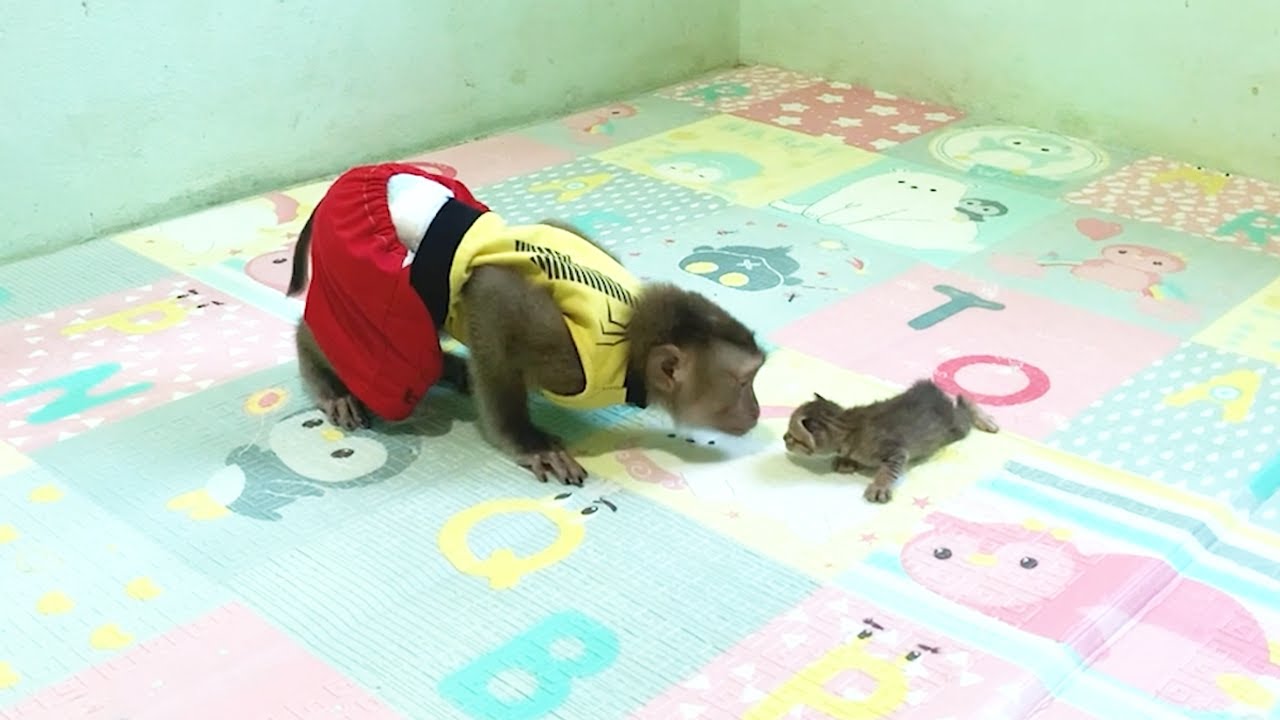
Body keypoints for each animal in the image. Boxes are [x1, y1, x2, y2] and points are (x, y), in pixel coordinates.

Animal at [286, 163, 764, 485]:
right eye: (743, 383)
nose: (757, 412)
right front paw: (529, 442)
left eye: (755, 378)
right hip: (361, 271)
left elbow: (552, 229)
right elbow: (491, 301)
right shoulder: (562, 352)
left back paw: (448, 368)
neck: (631, 344)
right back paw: (326, 374)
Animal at [782, 380, 999, 503]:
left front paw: (879, 488)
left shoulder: (897, 452)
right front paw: (845, 461)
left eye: (792, 436)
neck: (848, 426)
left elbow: (888, 471)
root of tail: (930, 389)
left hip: (954, 429)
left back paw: (987, 421)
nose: (784, 438)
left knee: (963, 400)